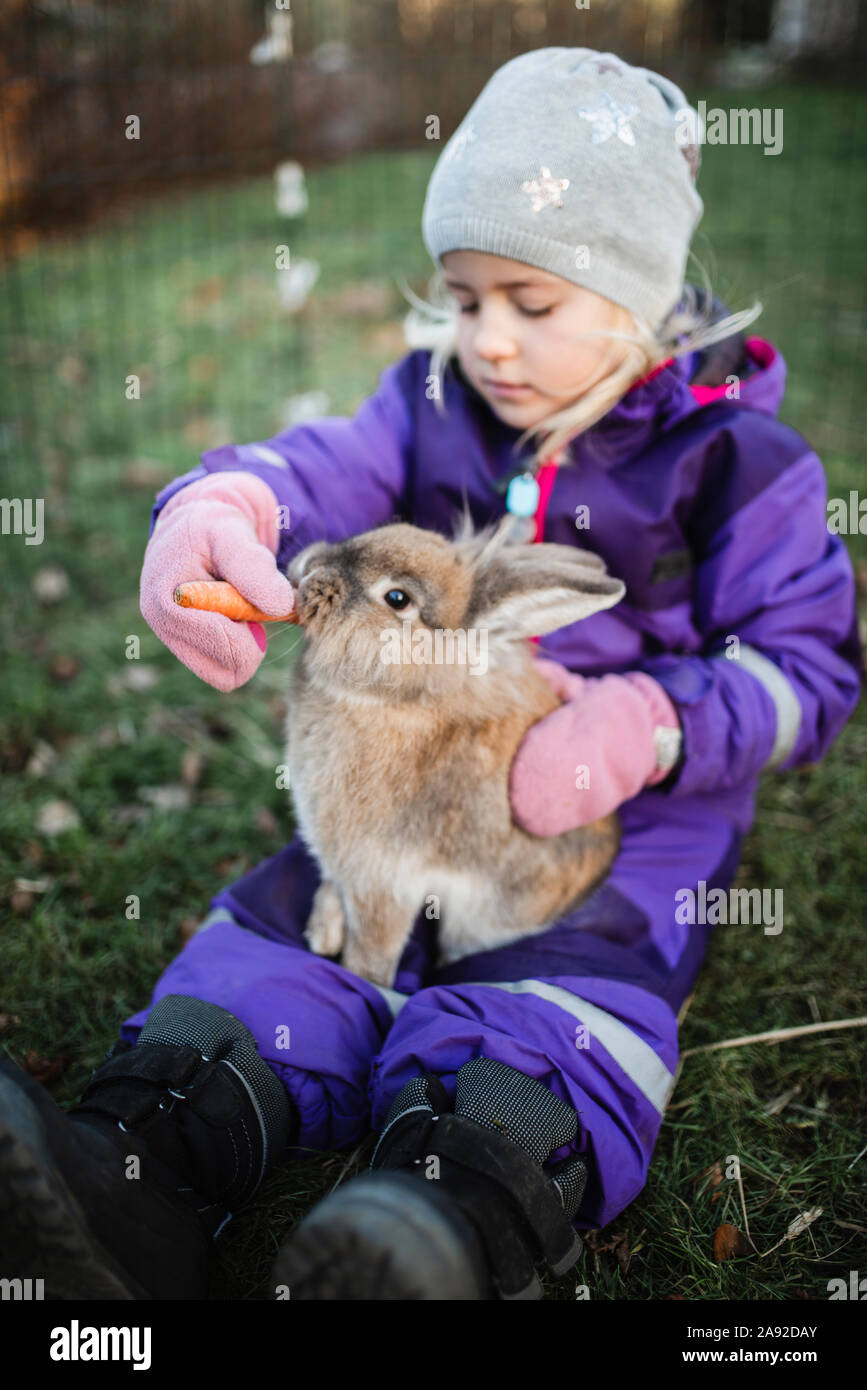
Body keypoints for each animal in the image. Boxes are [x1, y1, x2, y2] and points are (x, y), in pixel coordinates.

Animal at [284, 515, 627, 989]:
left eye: (397, 598)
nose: (307, 570)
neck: (402, 700)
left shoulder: (383, 881)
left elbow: (373, 950)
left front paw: (363, 980)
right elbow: (331, 884)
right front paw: (321, 934)